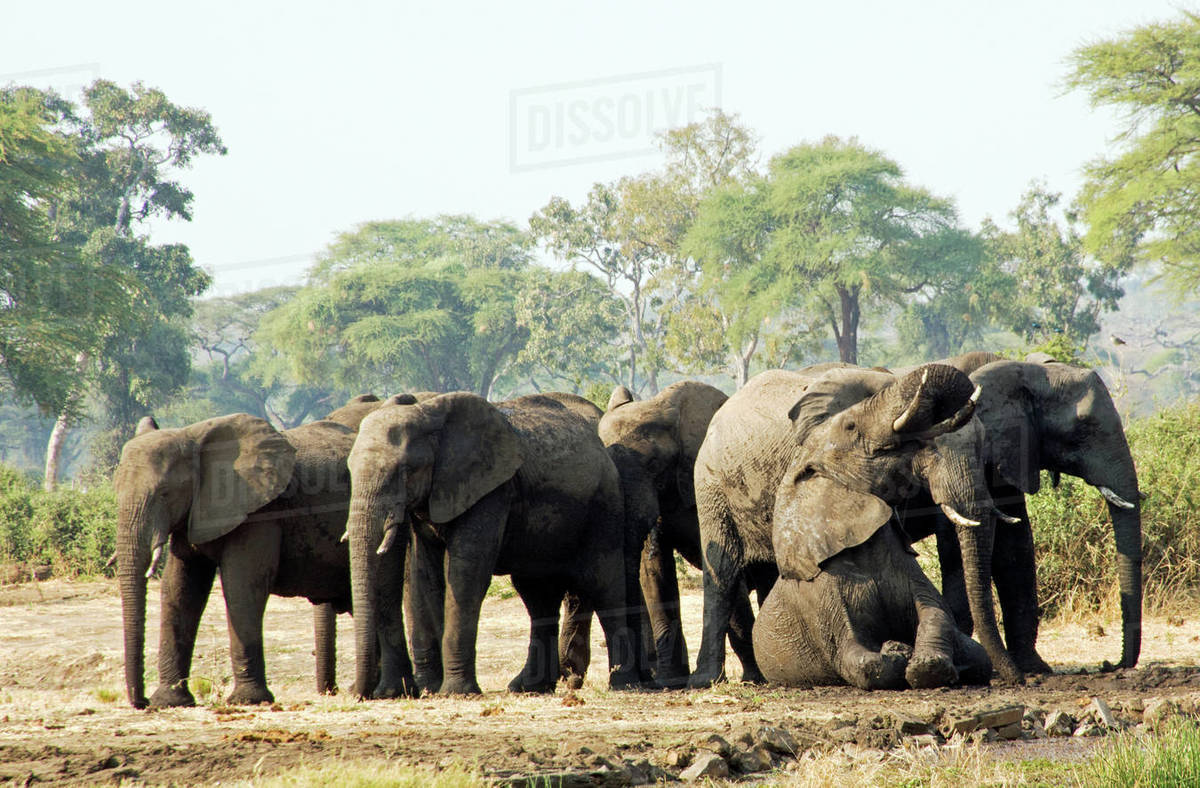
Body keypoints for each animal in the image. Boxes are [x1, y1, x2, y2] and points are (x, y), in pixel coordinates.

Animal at [115, 412, 365, 709]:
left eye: (165, 492)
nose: (141, 701)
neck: (193, 437)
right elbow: (180, 591)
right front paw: (169, 702)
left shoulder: (260, 512)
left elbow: (242, 587)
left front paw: (247, 700)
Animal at [346, 391, 639, 698]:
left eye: (406, 470)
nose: (359, 694)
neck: (432, 417)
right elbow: (427, 575)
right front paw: (437, 690)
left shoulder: (491, 491)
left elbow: (465, 575)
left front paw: (456, 693)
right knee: (537, 597)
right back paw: (528, 687)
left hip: (604, 505)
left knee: (605, 585)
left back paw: (623, 684)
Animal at [556, 381, 762, 689]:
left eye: (654, 464)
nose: (645, 679)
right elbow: (652, 569)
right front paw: (670, 680)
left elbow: (722, 561)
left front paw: (754, 679)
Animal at [690, 363, 1023, 689]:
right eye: (926, 446)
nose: (1018, 680)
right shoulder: (802, 451)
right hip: (710, 485)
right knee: (723, 573)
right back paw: (708, 680)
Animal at [910, 353, 1143, 673]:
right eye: (1083, 428)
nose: (1109, 664)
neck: (1028, 371)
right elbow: (959, 548)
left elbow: (1015, 547)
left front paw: (1034, 667)